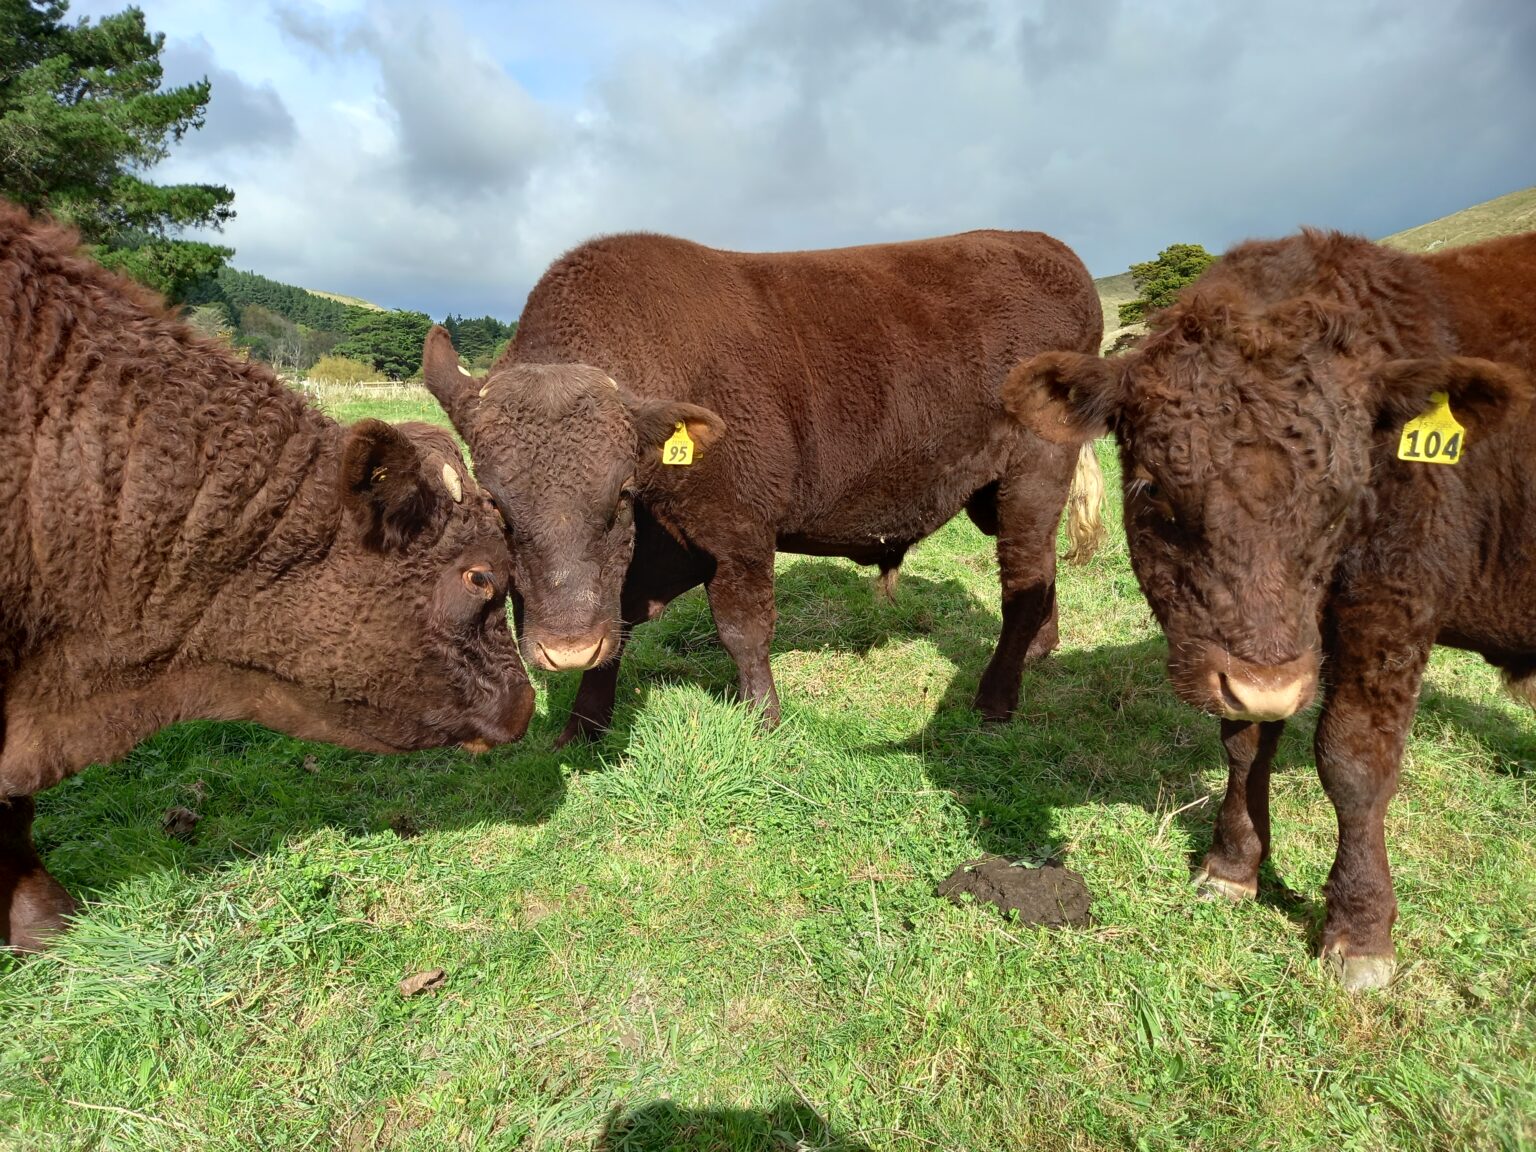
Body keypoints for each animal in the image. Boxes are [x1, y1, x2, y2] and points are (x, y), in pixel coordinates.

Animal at [422, 229, 1106, 744]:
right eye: (496, 506)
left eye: (618, 493)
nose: (566, 649)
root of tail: (1048, 248)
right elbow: (618, 623)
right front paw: (582, 726)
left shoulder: (739, 528)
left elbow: (743, 628)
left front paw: (762, 720)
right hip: (994, 491)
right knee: (1039, 568)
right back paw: (1041, 651)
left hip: (1034, 471)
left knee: (1022, 577)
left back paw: (996, 698)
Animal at [1003, 227, 1536, 989]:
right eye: (1153, 489)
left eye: (1345, 493)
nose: (1268, 685)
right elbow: (1245, 742)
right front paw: (1232, 866)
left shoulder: (1393, 610)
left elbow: (1353, 762)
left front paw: (1359, 930)